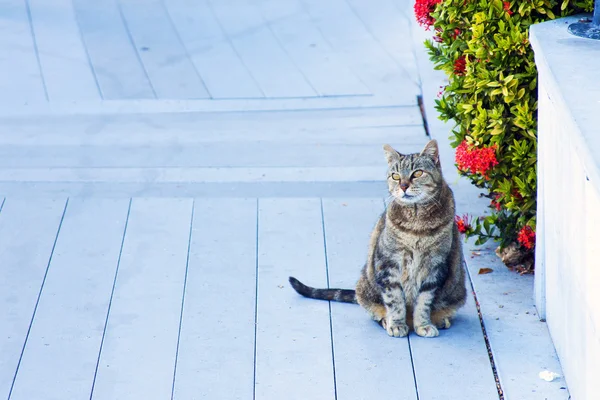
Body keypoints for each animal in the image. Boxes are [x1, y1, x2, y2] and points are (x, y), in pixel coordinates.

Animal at [290, 141, 468, 338]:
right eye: (395, 176)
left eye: (417, 173)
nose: (403, 186)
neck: (416, 224)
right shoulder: (388, 263)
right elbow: (395, 300)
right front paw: (396, 324)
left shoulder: (435, 265)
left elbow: (424, 301)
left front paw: (423, 324)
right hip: (365, 288)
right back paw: (387, 320)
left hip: (458, 293)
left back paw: (441, 320)